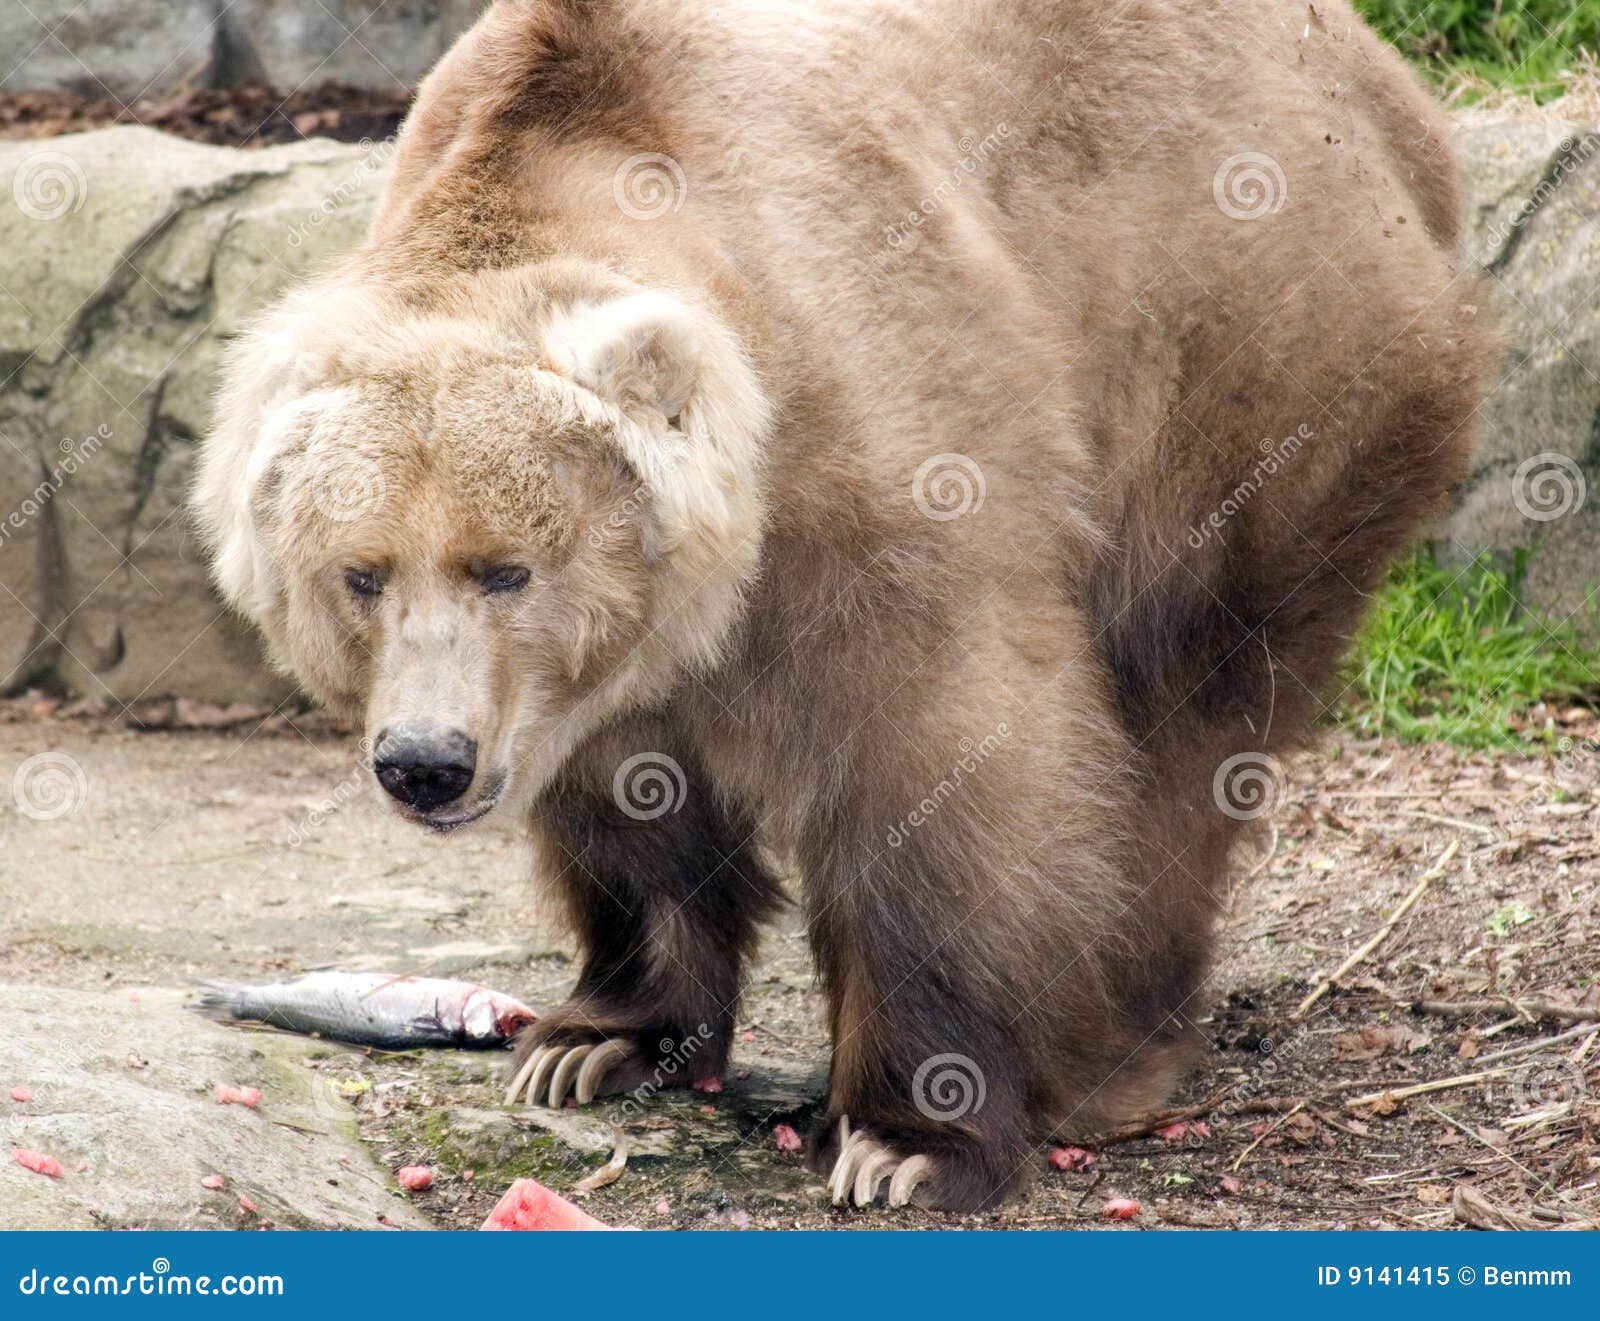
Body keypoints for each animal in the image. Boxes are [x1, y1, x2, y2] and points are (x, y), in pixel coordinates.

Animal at [193, 0, 1492, 1212]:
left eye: (502, 566)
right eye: (361, 572)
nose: (425, 762)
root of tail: (1393, 99)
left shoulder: (884, 450)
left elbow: (936, 769)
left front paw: (906, 1137)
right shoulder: (603, 663)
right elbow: (627, 799)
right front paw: (595, 1036)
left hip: (1246, 369)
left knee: (1188, 713)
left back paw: (1118, 1047)